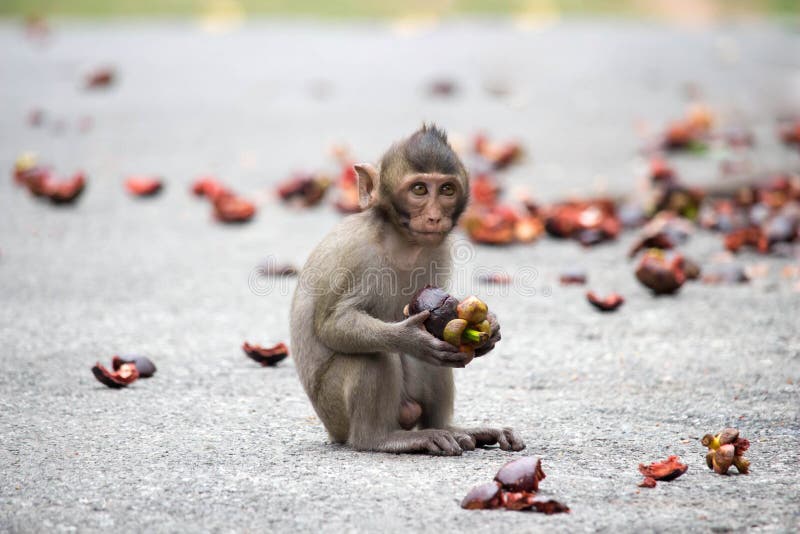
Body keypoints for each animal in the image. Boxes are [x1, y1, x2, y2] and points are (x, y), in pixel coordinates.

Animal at [289, 124, 525, 455]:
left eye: (447, 190)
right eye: (419, 190)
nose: (434, 216)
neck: (402, 243)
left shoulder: (438, 250)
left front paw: (490, 327)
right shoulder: (353, 253)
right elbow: (333, 325)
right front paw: (411, 338)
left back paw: (450, 428)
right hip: (335, 411)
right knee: (372, 355)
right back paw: (381, 438)